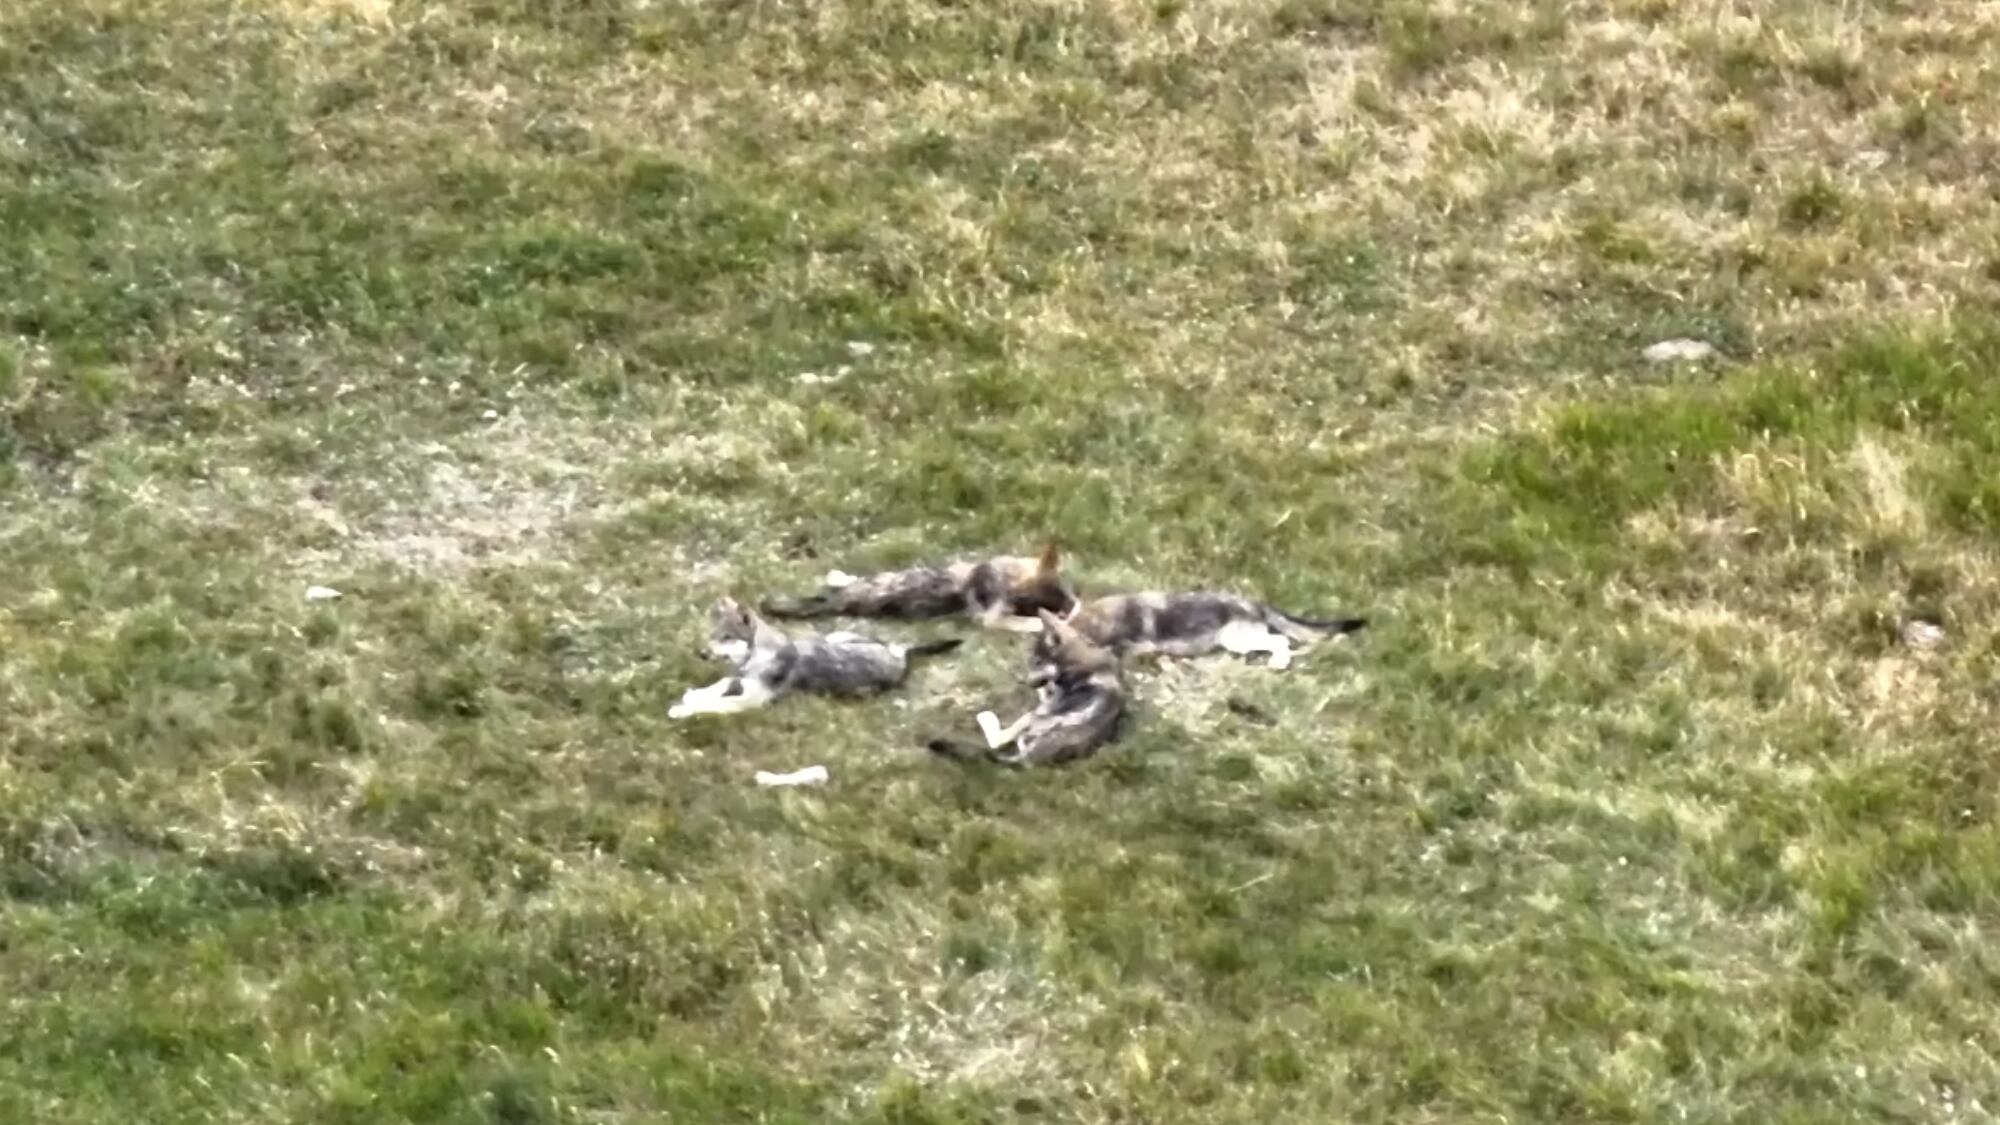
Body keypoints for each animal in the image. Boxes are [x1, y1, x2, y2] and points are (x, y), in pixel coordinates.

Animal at [668, 599, 961, 720]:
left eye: (727, 637)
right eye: (713, 635)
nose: (701, 653)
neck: (757, 655)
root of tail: (899, 653)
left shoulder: (750, 700)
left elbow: (716, 704)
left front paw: (685, 709)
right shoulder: (741, 677)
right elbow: (721, 683)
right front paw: (695, 694)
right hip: (834, 636)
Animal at [927, 609, 1126, 767]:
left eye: (1036, 662)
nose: (1023, 681)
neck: (1078, 657)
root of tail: (1029, 758)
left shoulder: (1049, 699)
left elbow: (1047, 688)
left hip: (1031, 717)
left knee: (997, 741)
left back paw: (986, 717)